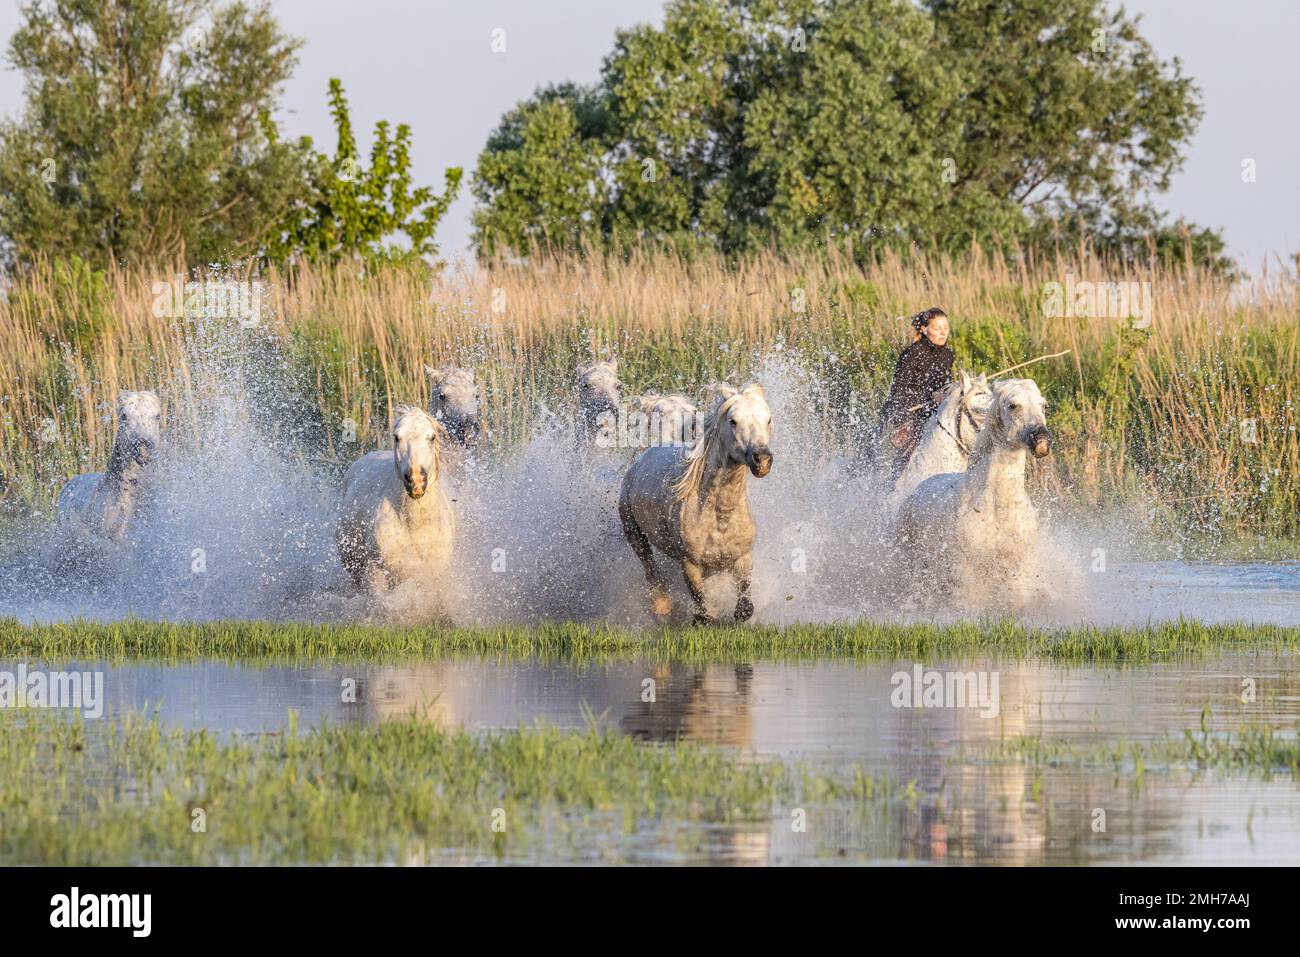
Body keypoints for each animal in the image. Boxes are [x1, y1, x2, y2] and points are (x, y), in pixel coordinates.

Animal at [618, 383, 773, 624]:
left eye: (768, 419)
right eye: (733, 421)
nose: (762, 459)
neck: (720, 516)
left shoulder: (743, 558)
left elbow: (744, 607)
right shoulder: (690, 565)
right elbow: (701, 611)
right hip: (633, 531)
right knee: (649, 566)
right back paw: (661, 606)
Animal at [894, 378, 1052, 610]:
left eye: (1044, 406)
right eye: (1013, 405)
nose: (1042, 440)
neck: (998, 507)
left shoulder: (1017, 569)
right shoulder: (966, 571)